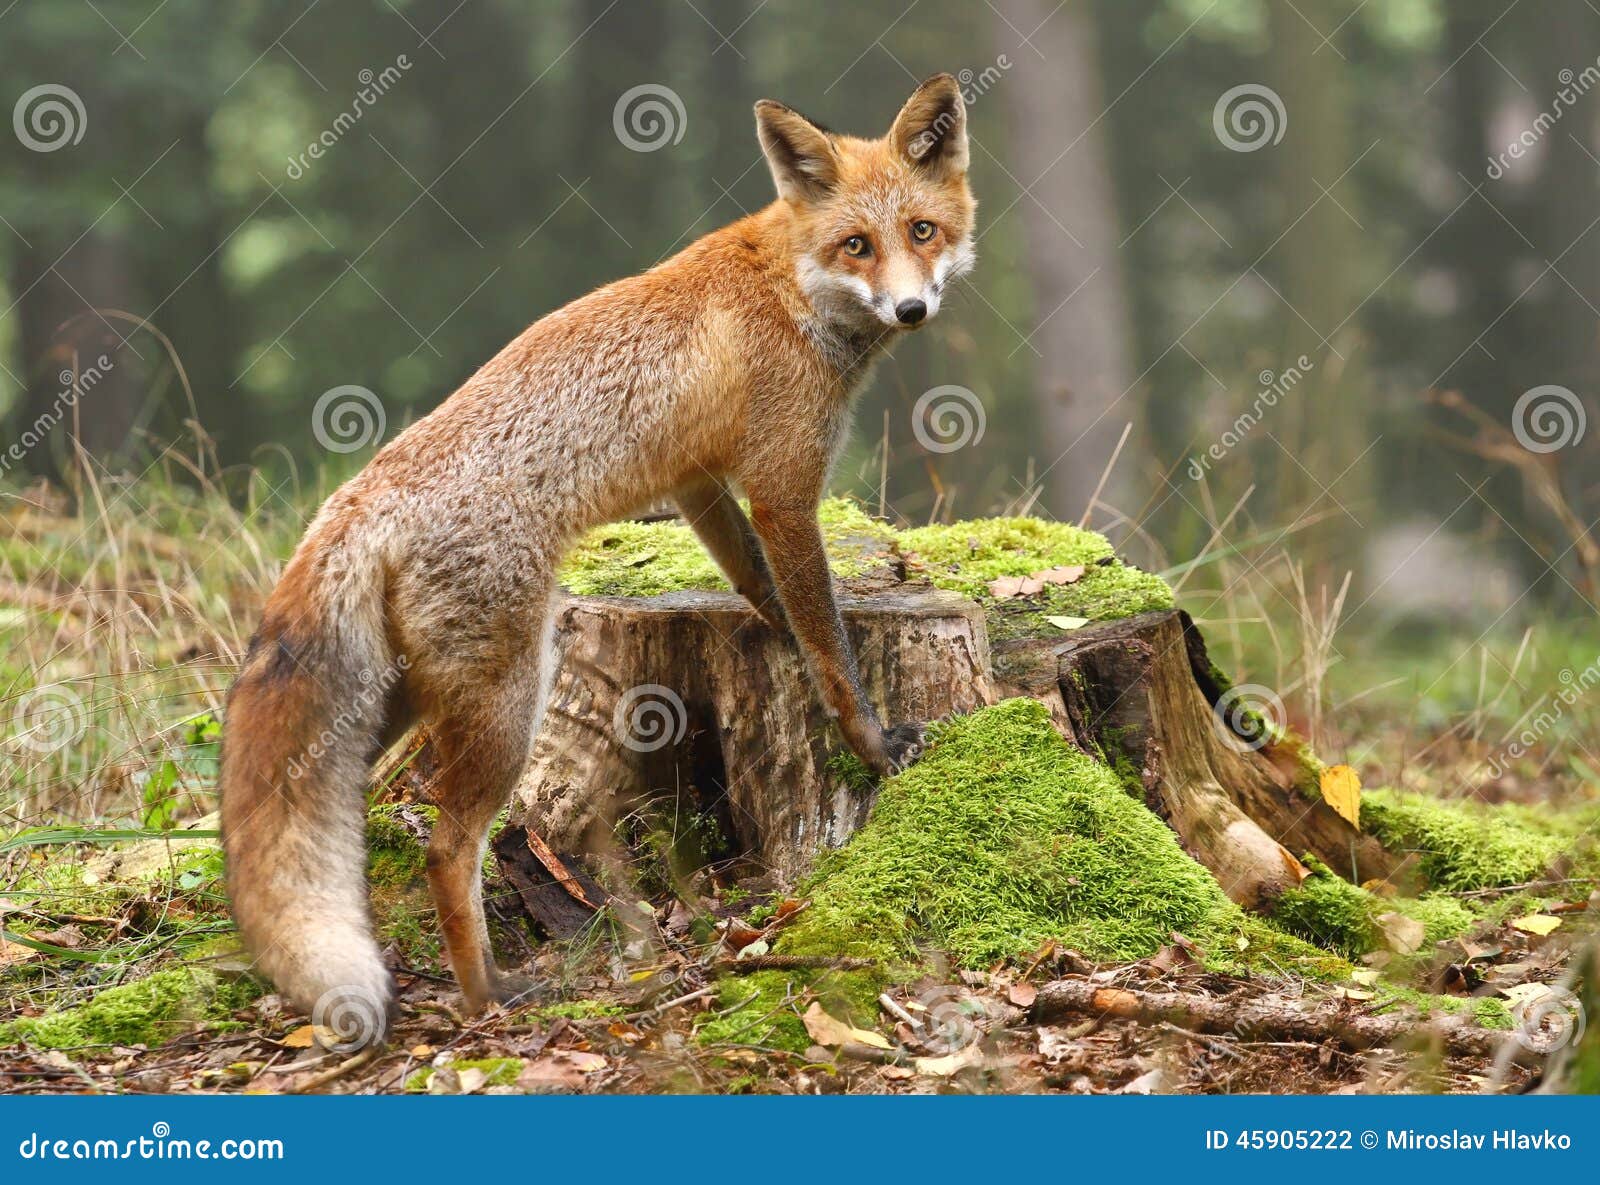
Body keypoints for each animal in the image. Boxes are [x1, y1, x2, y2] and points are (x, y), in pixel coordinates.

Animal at [220, 74, 976, 1043]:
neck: (791, 285)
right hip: (510, 698)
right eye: (858, 245)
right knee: (446, 847)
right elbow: (833, 649)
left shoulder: (698, 484)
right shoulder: (782, 489)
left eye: (921, 231)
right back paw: (486, 994)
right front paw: (875, 744)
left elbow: (764, 591)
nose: (911, 309)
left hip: (393, 704)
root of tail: (363, 493)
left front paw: (788, 636)